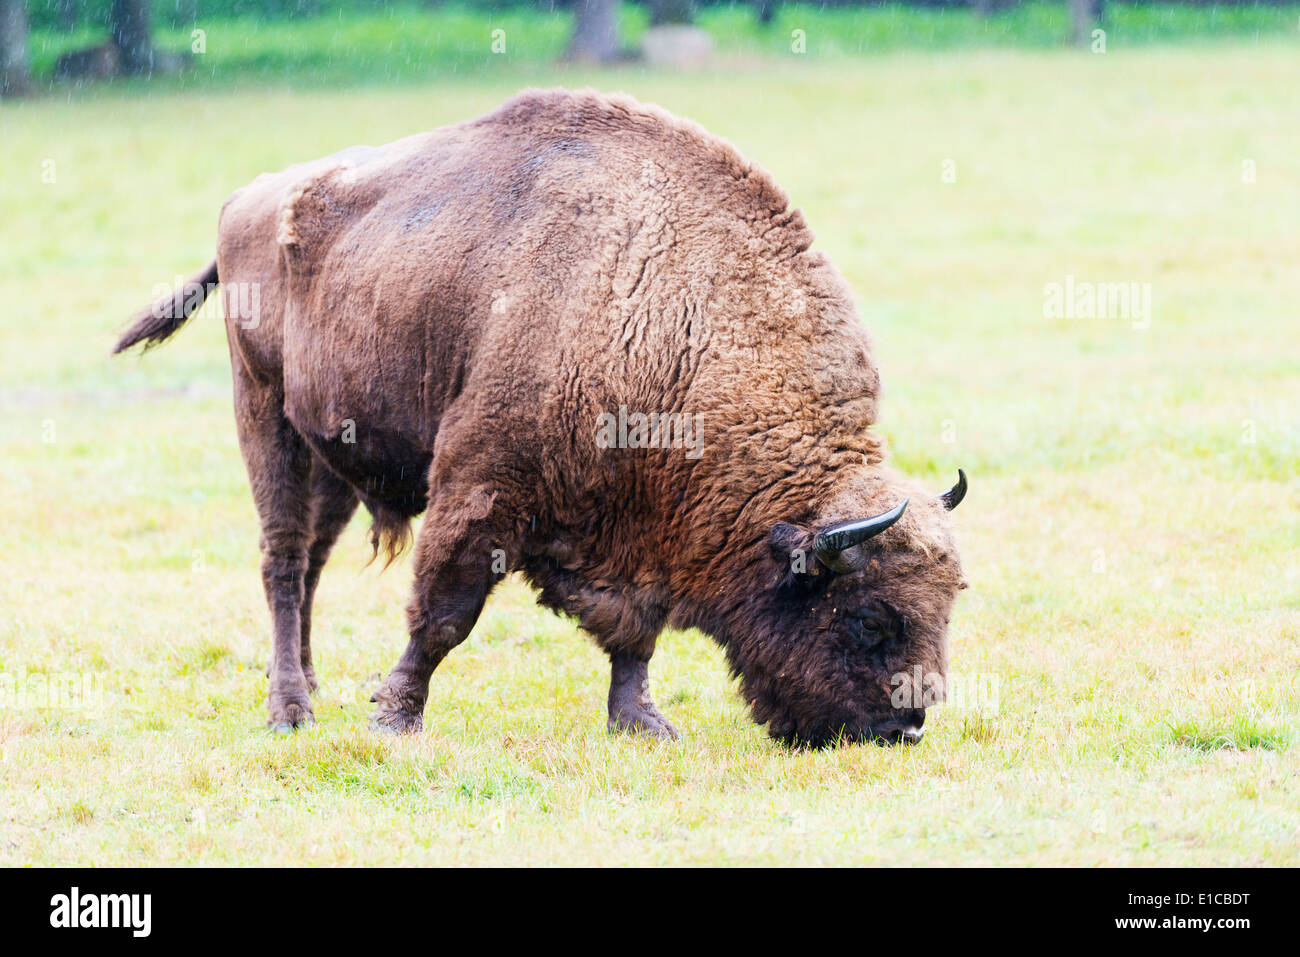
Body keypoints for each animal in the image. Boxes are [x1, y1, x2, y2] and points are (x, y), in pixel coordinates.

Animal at [115, 88, 968, 746]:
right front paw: (395, 717)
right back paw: (289, 709)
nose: (907, 726)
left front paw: (641, 722)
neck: (672, 317)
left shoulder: (639, 531)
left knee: (313, 564)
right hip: (266, 420)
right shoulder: (482, 488)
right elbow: (444, 612)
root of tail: (250, 198)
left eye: (948, 607)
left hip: (333, 454)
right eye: (869, 619)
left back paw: (312, 687)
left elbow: (635, 633)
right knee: (284, 562)